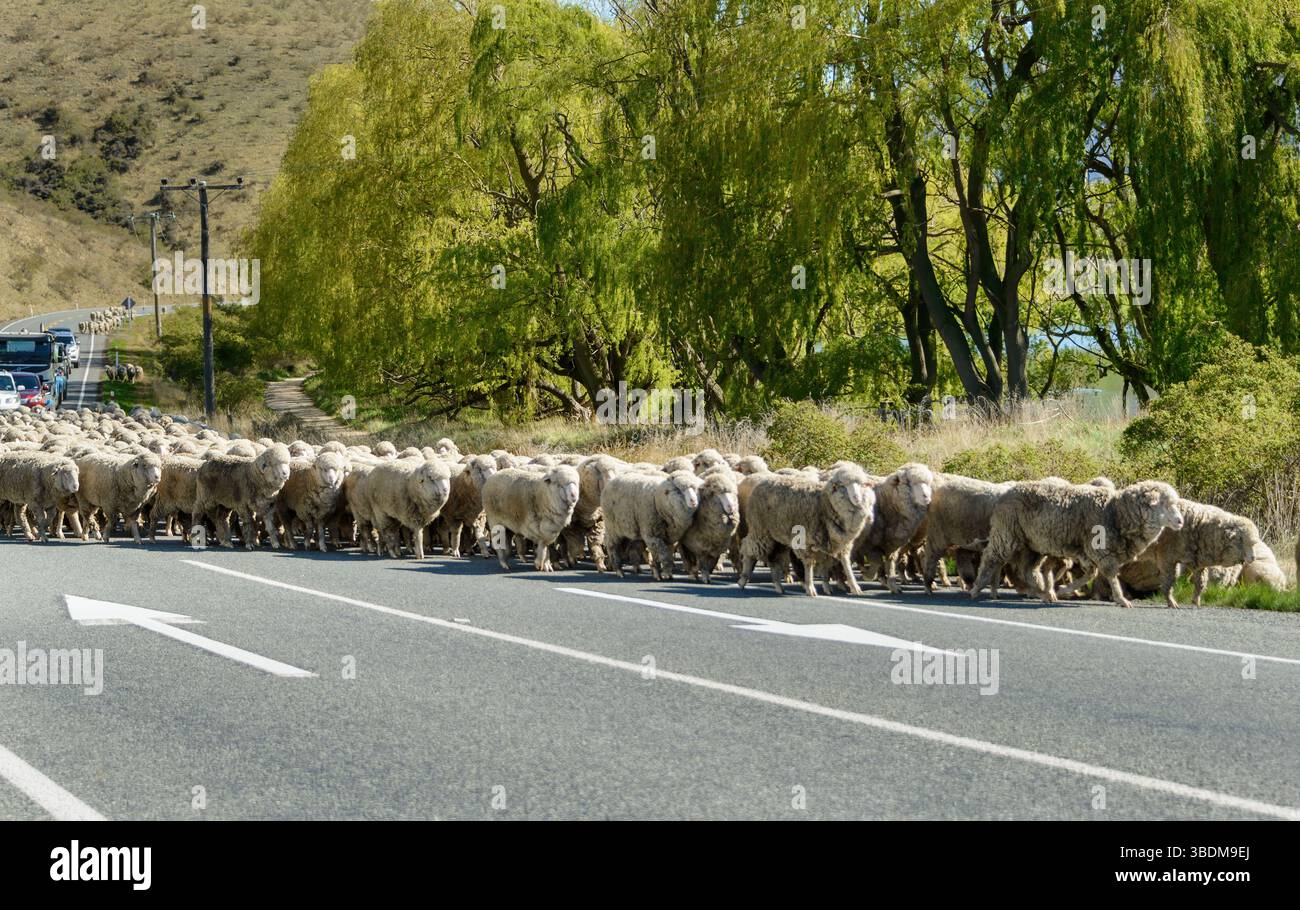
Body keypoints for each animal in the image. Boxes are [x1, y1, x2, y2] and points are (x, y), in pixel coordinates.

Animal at [737, 464, 874, 597]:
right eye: (843, 486)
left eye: (862, 485)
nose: (857, 498)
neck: (824, 504)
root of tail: (763, 482)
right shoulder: (806, 542)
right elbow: (809, 564)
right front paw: (810, 588)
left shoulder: (837, 543)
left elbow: (842, 564)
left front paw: (853, 587)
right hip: (760, 531)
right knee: (748, 548)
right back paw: (743, 580)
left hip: (778, 537)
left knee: (775, 559)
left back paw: (778, 586)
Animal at [971, 480, 1183, 609]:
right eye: (1165, 504)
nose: (1181, 521)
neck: (1116, 513)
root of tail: (1006, 493)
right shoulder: (1100, 550)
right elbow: (1109, 575)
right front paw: (1121, 599)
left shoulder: (1088, 551)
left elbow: (1092, 573)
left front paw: (1063, 590)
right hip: (1006, 533)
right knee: (990, 557)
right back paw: (976, 588)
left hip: (1033, 543)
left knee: (1027, 570)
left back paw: (1042, 593)